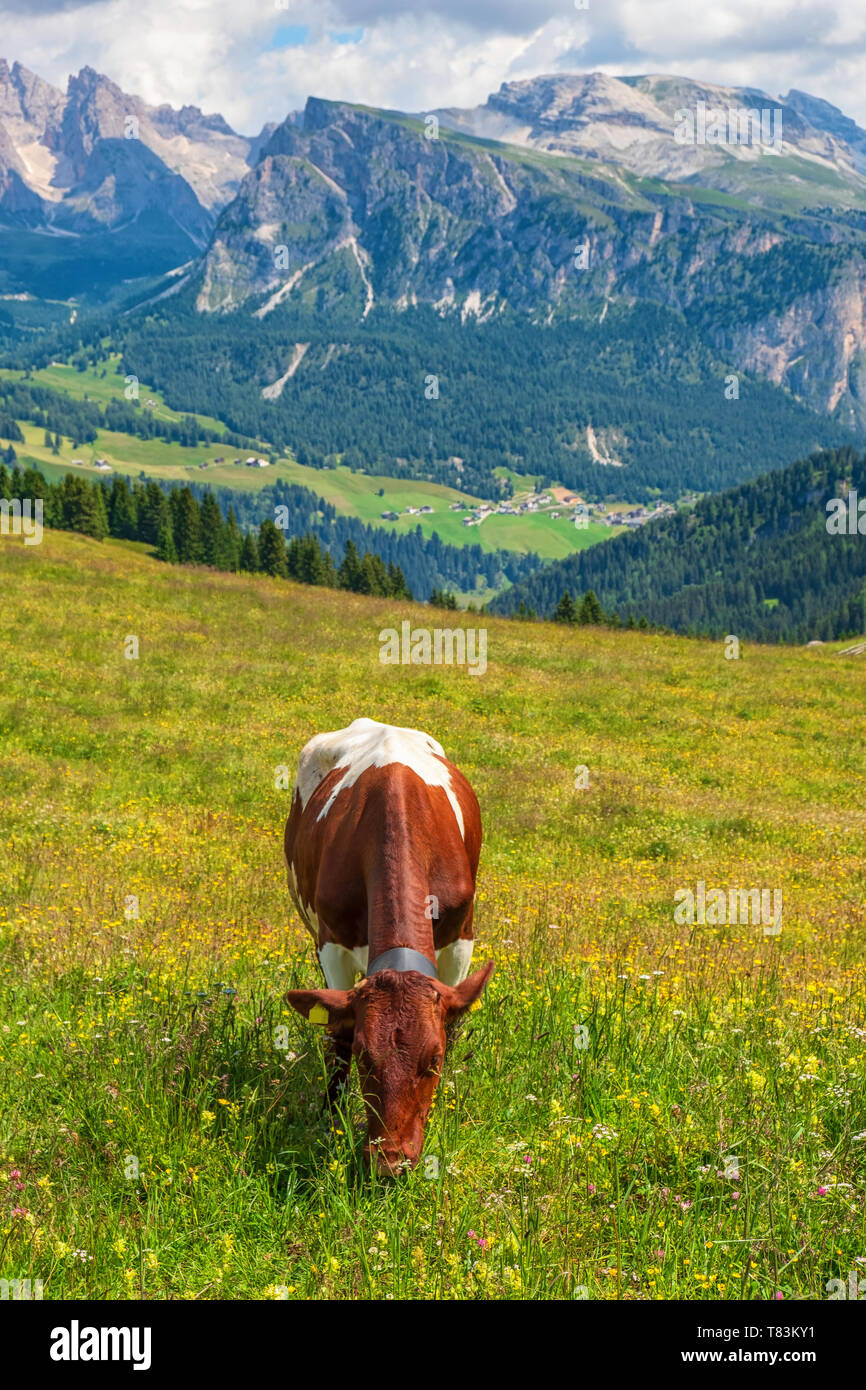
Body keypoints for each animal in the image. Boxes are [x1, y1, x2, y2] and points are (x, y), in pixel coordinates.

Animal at [284, 717, 494, 1175]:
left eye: (434, 1059)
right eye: (367, 1057)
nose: (390, 1163)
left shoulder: (461, 938)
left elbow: (453, 1022)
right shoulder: (330, 943)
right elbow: (337, 1037)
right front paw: (331, 1116)